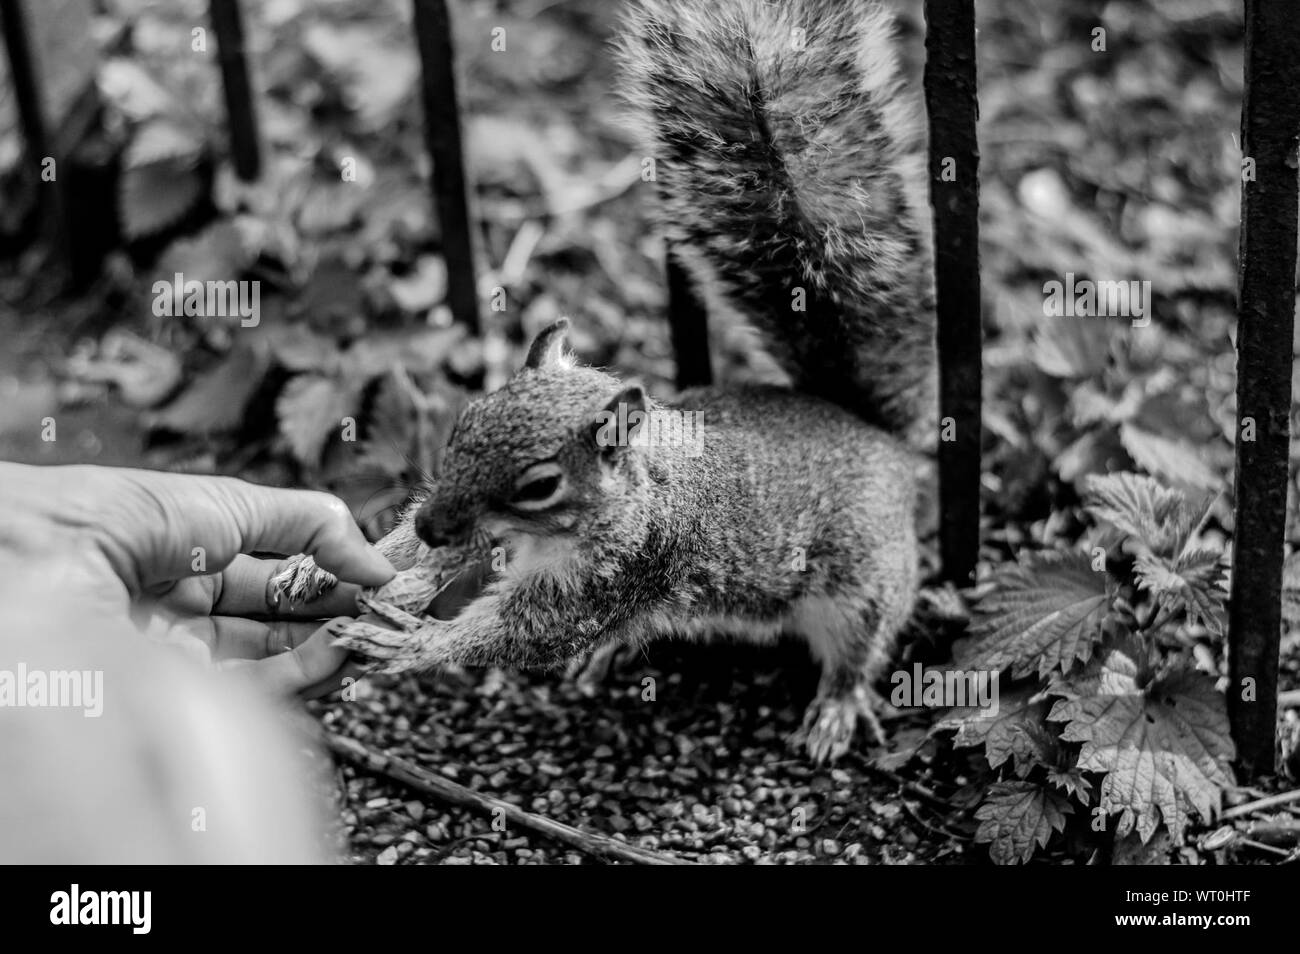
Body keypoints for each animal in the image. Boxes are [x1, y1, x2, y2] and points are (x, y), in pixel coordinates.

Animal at [275, 0, 936, 763]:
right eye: (465, 423)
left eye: (540, 485)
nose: (431, 523)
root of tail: (878, 437)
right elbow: (428, 555)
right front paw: (324, 564)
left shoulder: (626, 570)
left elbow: (528, 633)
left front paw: (413, 644)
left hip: (863, 584)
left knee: (861, 646)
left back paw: (836, 706)